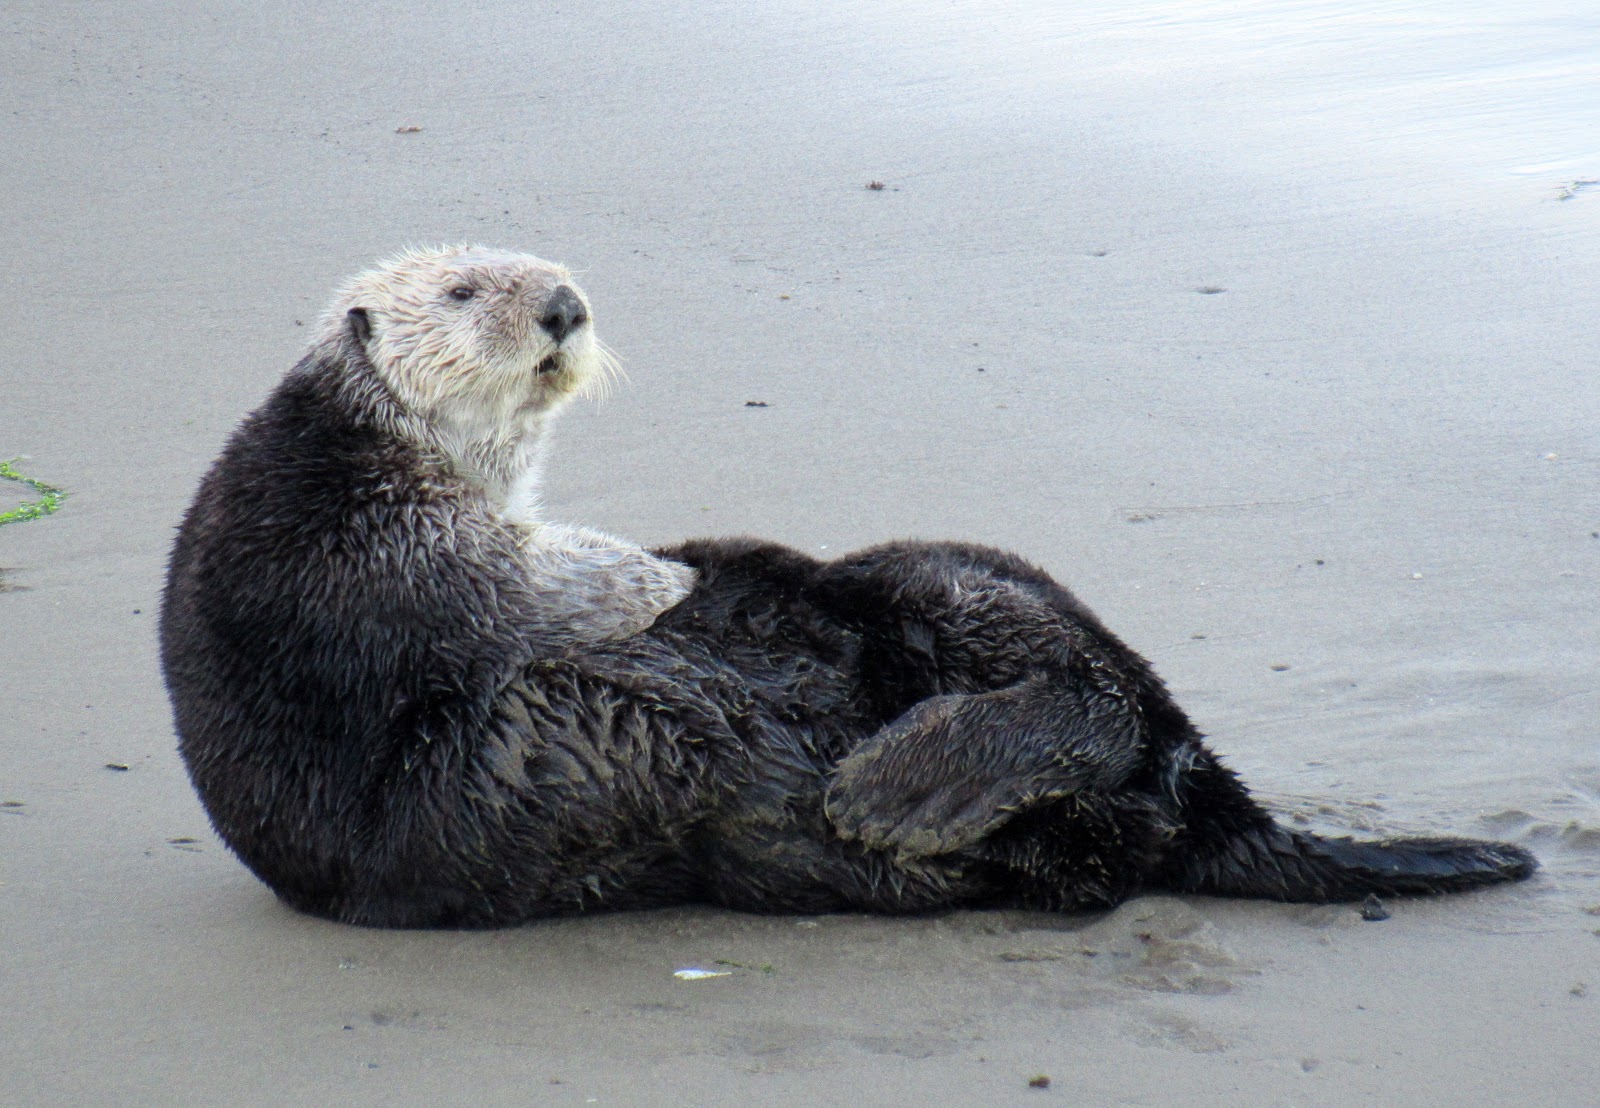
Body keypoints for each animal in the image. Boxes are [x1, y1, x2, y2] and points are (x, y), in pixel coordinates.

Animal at [160, 246, 1535, 928]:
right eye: (459, 288)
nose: (563, 305)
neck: (360, 438)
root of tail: (1205, 788)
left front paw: (695, 558)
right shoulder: (377, 538)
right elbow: (544, 586)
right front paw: (673, 568)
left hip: (947, 580)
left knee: (1081, 683)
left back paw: (890, 774)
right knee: (1090, 745)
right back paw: (891, 794)